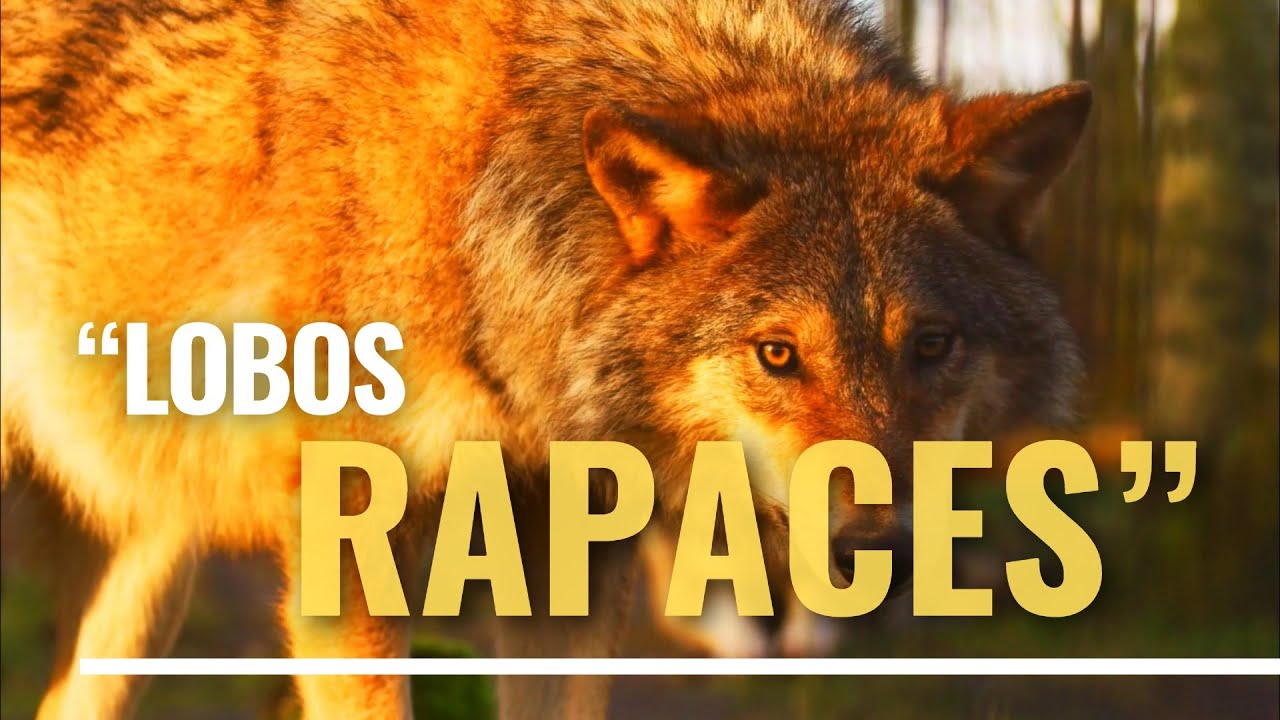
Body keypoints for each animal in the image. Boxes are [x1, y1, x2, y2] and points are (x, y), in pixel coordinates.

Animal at [0, 0, 1088, 717]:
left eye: (932, 346)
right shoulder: (346, 543)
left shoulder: (569, 553)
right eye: (777, 353)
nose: (883, 551)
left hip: (146, 581)